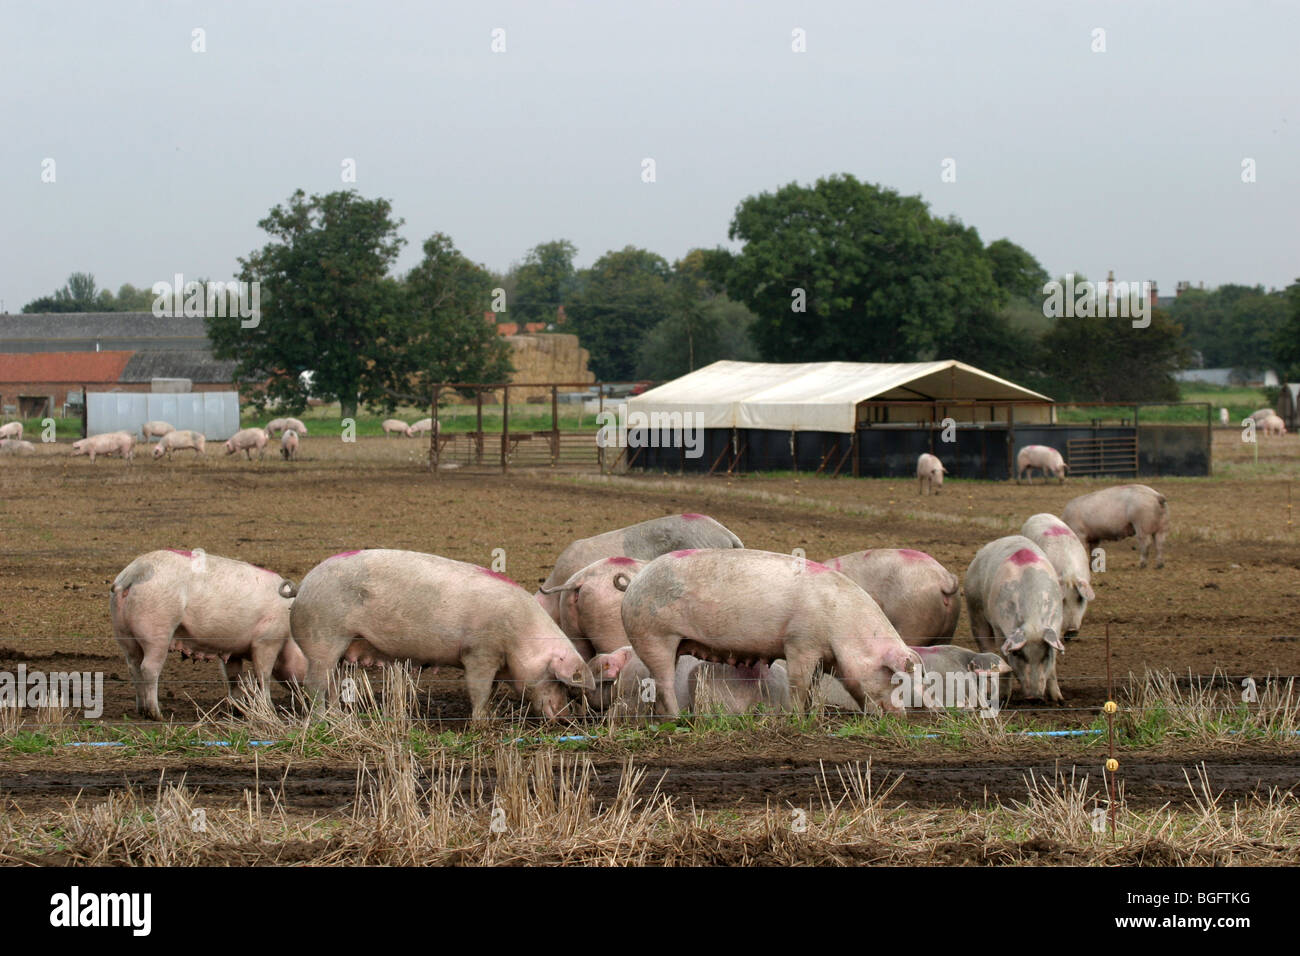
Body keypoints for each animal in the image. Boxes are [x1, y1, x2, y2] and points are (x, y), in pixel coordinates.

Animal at [109, 549, 300, 719]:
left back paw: (141, 711)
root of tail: (133, 574)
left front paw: (238, 711)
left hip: (124, 634)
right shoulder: (267, 641)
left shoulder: (232, 650)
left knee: (133, 667)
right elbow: (263, 675)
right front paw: (271, 711)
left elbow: (233, 677)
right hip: (157, 630)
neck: (288, 635)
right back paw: (157, 714)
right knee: (148, 668)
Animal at [291, 549, 595, 721]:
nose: (565, 718)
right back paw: (321, 722)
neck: (520, 636)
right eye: (557, 680)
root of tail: (302, 587)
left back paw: (339, 719)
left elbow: (491, 689)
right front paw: (482, 723)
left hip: (341, 648)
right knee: (314, 684)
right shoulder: (479, 652)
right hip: (323, 638)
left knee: (332, 684)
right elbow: (479, 689)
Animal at [619, 548, 924, 717]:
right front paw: (797, 718)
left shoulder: (819, 653)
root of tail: (634, 582)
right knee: (664, 682)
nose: (901, 717)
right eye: (894, 678)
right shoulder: (801, 642)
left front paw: (812, 715)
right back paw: (679, 718)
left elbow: (812, 687)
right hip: (654, 635)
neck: (843, 625)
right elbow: (799, 684)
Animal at [964, 536, 1065, 702]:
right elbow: (1004, 661)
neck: (1032, 622)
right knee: (985, 647)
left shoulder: (1056, 624)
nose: (1034, 698)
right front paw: (1003, 698)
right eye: (1018, 654)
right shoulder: (999, 627)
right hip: (975, 610)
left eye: (1046, 655)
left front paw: (1059, 700)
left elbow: (1053, 666)